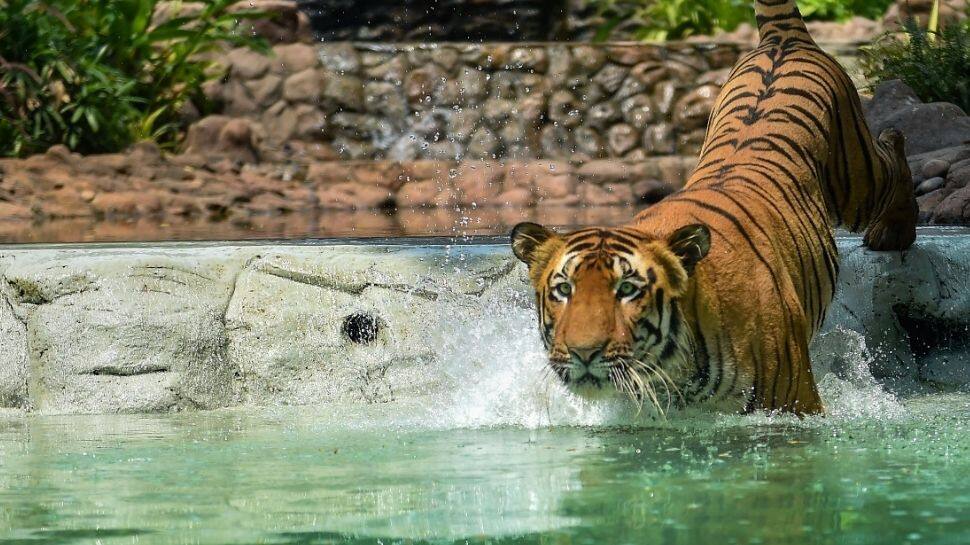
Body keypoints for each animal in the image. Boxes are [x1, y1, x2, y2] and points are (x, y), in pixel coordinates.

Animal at [510, 0, 917, 416]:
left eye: (627, 289)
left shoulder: (798, 402)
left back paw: (893, 232)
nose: (583, 353)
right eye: (563, 289)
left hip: (856, 181)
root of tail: (784, 39)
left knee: (894, 144)